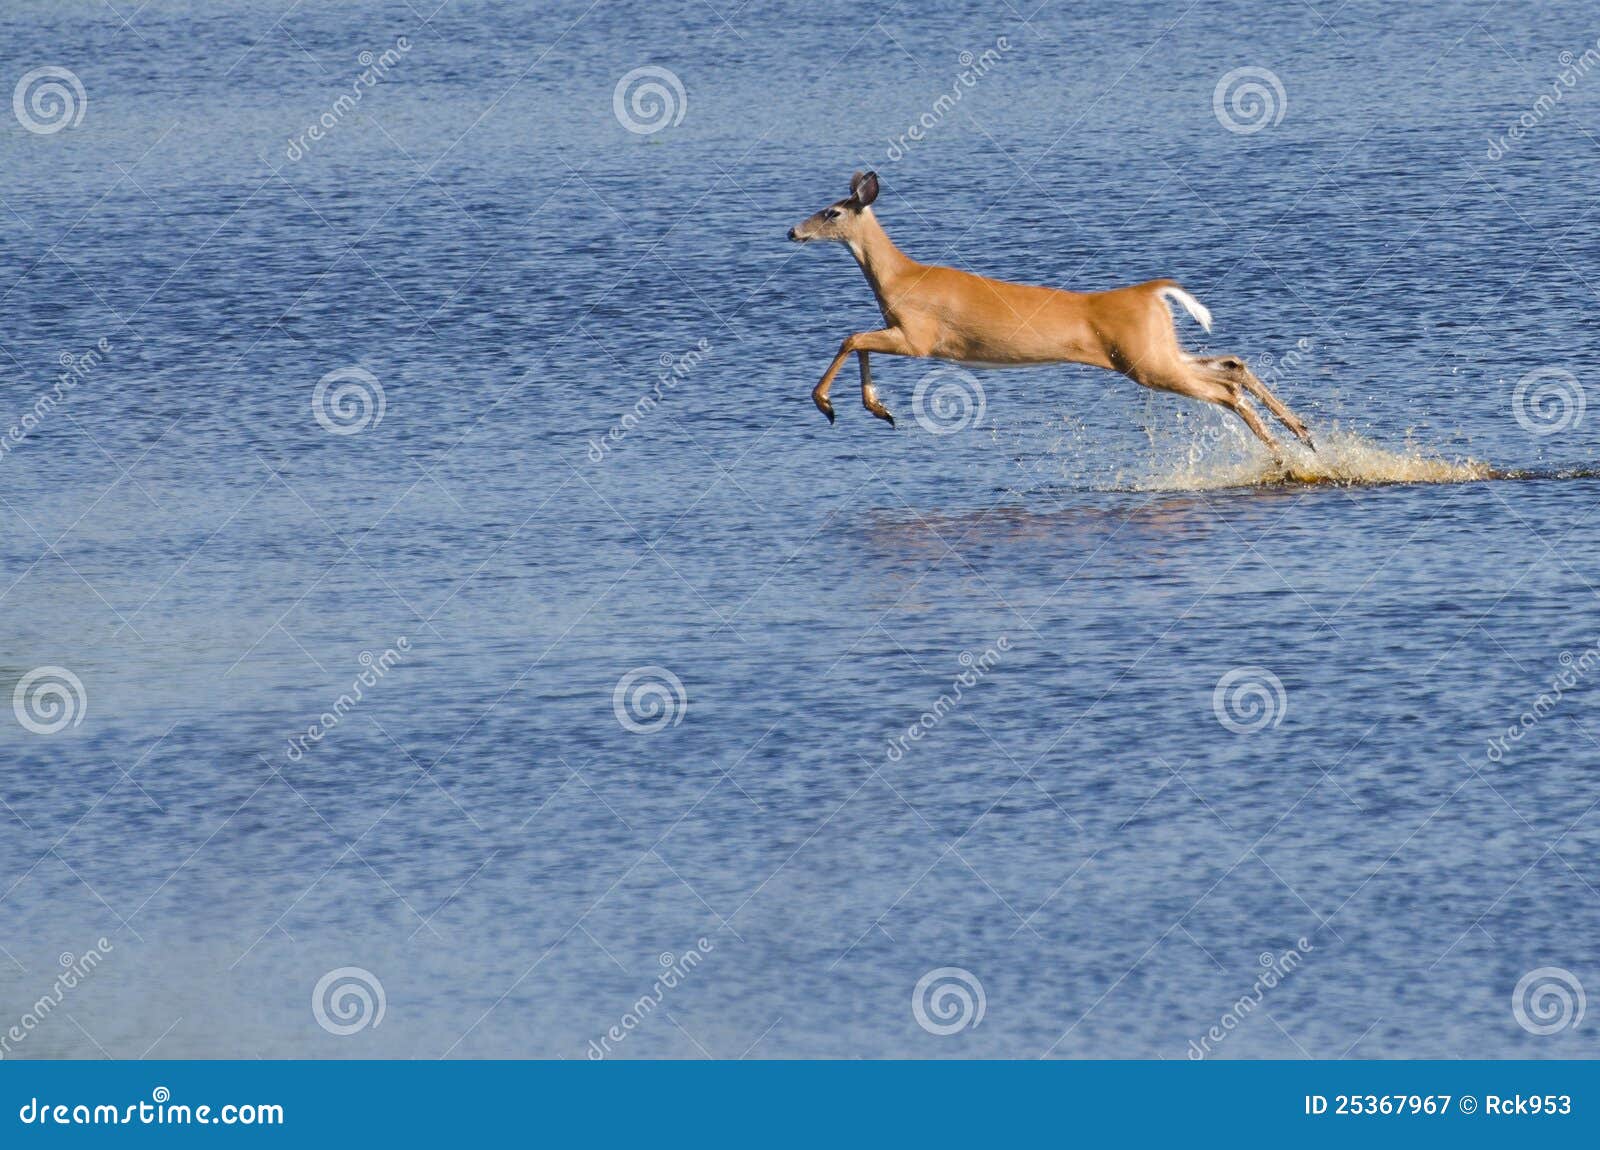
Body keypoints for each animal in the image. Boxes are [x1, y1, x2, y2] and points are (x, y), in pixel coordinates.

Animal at [787, 171, 1316, 457]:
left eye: (833, 212)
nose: (793, 231)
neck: (899, 278)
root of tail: (1153, 291)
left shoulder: (918, 338)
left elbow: (850, 337)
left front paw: (830, 404)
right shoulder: (904, 335)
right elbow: (855, 340)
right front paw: (878, 408)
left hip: (1146, 362)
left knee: (1224, 389)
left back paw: (1285, 456)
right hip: (1155, 351)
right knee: (1232, 365)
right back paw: (1303, 439)